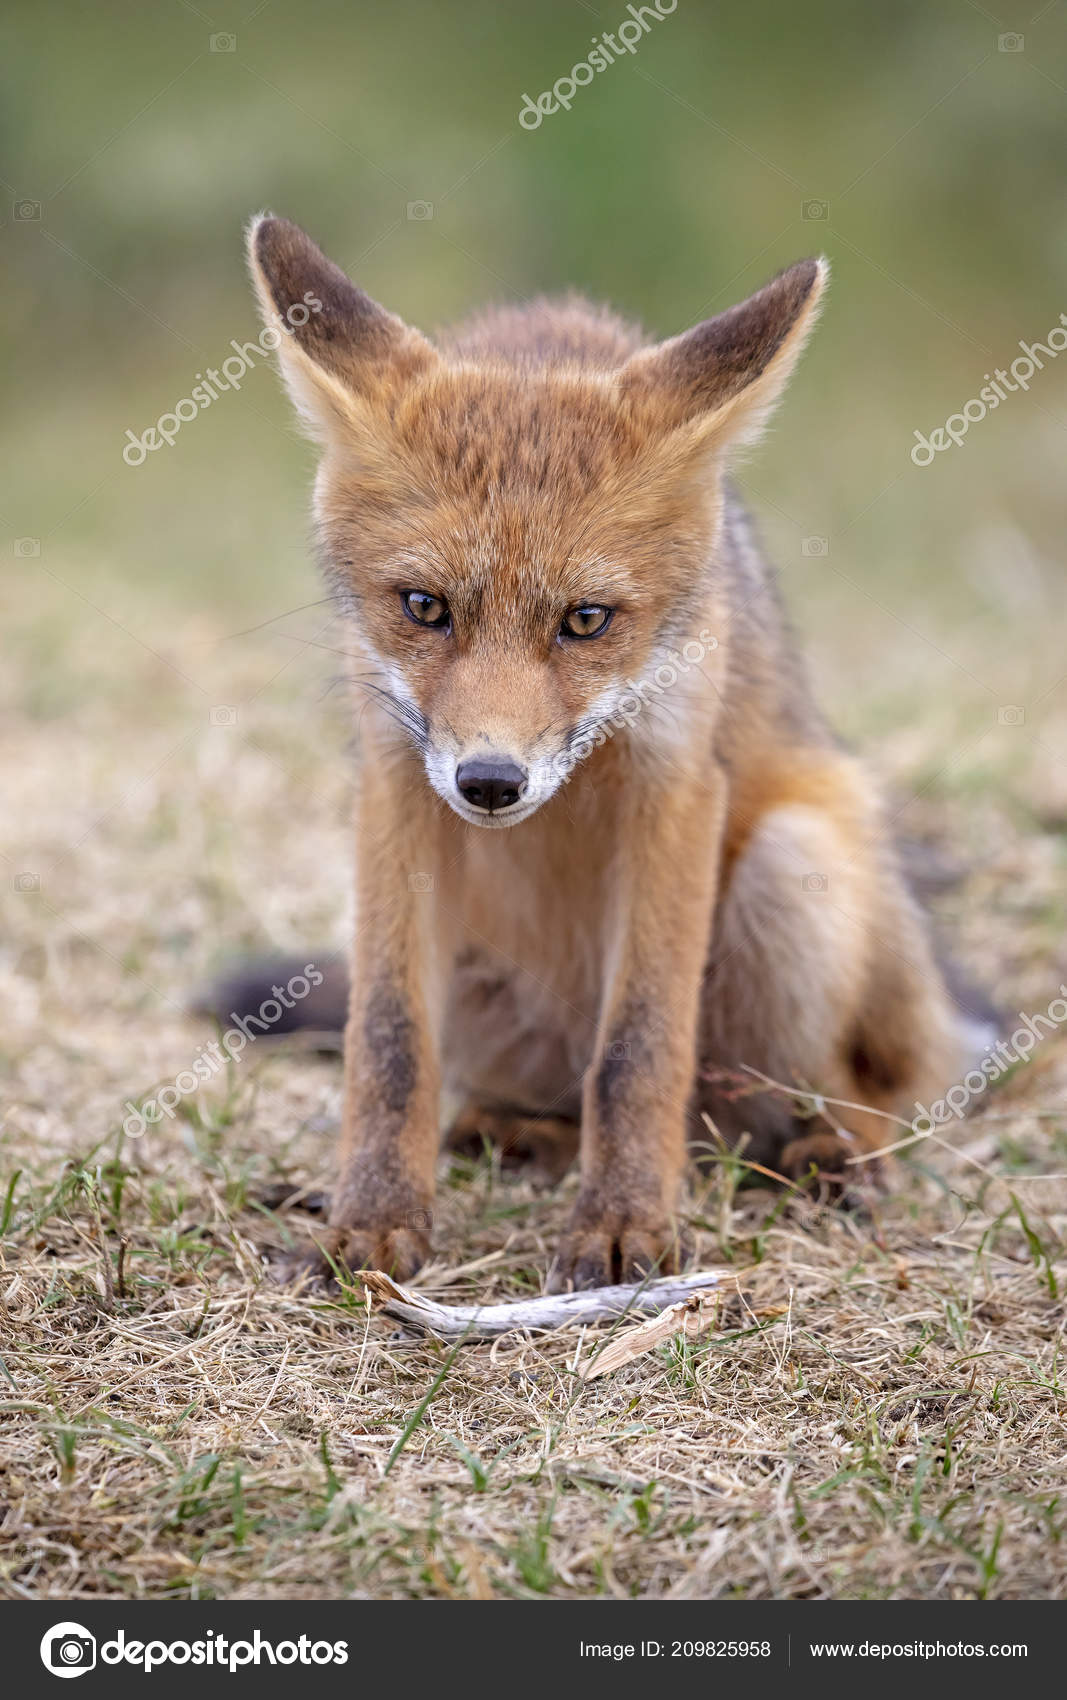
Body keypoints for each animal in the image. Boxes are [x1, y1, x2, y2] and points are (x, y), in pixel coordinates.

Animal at [238, 214, 977, 1289]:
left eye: (585, 620)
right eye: (424, 607)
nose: (490, 782)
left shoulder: (673, 781)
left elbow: (635, 1049)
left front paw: (626, 1220)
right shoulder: (398, 778)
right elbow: (386, 1041)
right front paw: (374, 1217)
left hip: (795, 871)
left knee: (853, 1091)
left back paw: (829, 1149)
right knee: (544, 1092)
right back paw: (521, 1132)